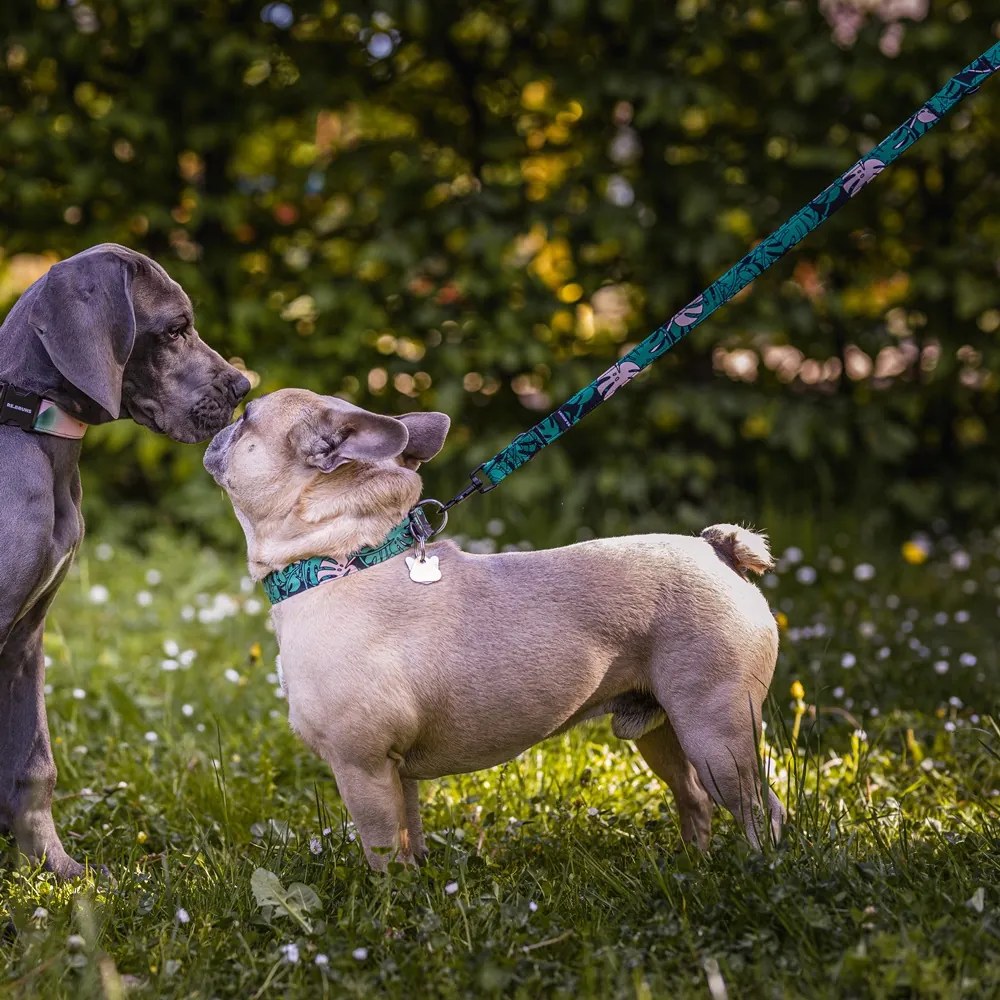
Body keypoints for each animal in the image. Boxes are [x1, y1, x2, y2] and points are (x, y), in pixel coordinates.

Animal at [0, 242, 250, 876]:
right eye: (175, 329)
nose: (243, 386)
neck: (29, 421)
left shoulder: (25, 639)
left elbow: (34, 764)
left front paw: (55, 868)